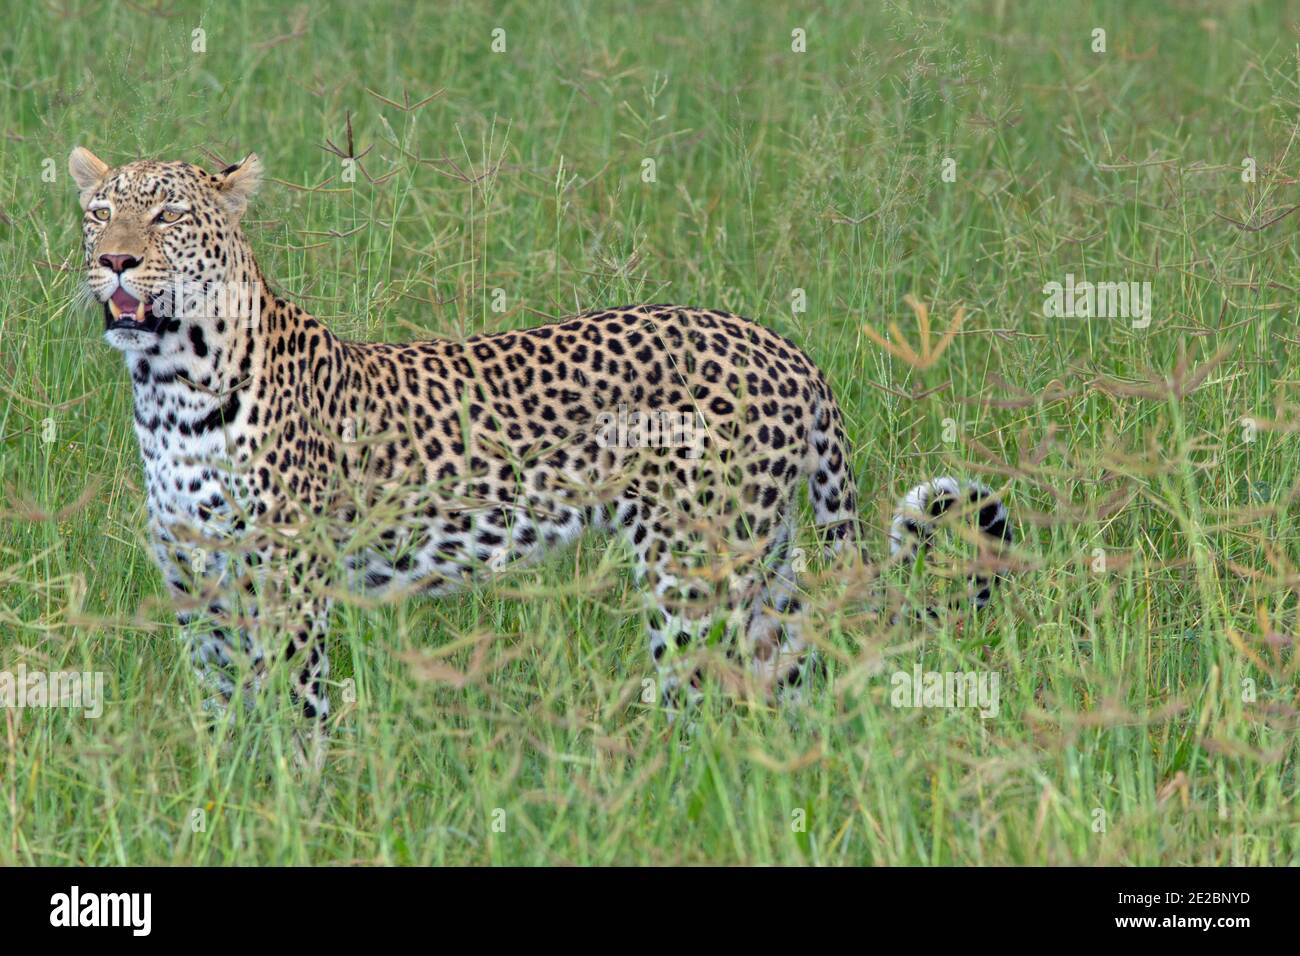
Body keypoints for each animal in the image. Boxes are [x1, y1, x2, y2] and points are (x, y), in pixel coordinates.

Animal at [69, 146, 1013, 723]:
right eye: (100, 213)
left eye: (167, 217)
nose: (114, 261)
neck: (170, 390)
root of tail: (787, 348)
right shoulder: (196, 586)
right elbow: (221, 715)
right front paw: (230, 799)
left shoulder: (287, 584)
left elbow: (294, 711)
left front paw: (292, 806)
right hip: (761, 557)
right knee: (789, 680)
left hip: (690, 570)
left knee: (706, 698)